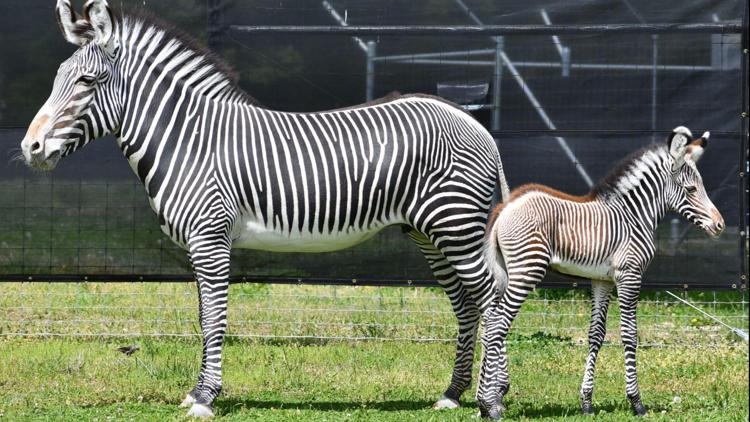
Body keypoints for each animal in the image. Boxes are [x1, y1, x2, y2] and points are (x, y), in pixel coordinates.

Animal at [20, 0, 511, 417]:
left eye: (87, 82)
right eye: (59, 77)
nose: (30, 148)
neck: (186, 140)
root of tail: (474, 123)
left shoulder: (210, 237)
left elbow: (215, 318)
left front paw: (206, 397)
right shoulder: (198, 244)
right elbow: (203, 316)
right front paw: (197, 391)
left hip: (455, 225)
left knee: (493, 296)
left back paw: (491, 399)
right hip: (427, 231)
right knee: (467, 304)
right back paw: (455, 393)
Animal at [480, 126, 725, 418]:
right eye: (691, 189)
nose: (720, 225)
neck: (634, 216)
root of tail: (505, 208)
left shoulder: (601, 281)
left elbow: (596, 335)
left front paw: (586, 402)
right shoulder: (630, 275)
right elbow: (629, 335)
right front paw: (636, 402)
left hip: (504, 273)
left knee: (488, 321)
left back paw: (487, 400)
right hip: (527, 271)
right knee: (497, 324)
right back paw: (491, 405)